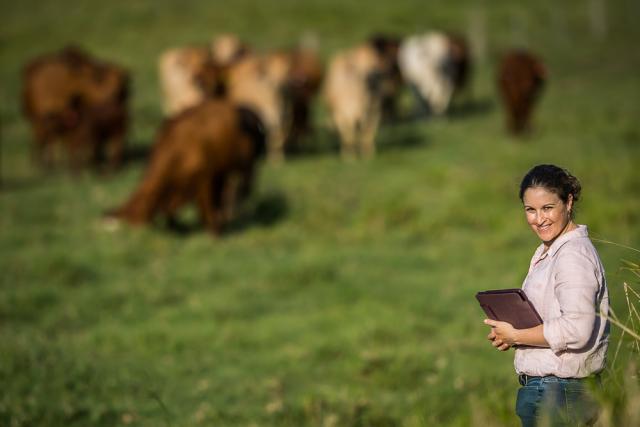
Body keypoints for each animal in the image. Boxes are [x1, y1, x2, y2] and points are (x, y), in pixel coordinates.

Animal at [106, 100, 266, 235]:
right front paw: (173, 226)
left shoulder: (206, 178)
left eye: (139, 219)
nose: (139, 235)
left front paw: (214, 232)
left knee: (243, 189)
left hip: (244, 167)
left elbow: (208, 205)